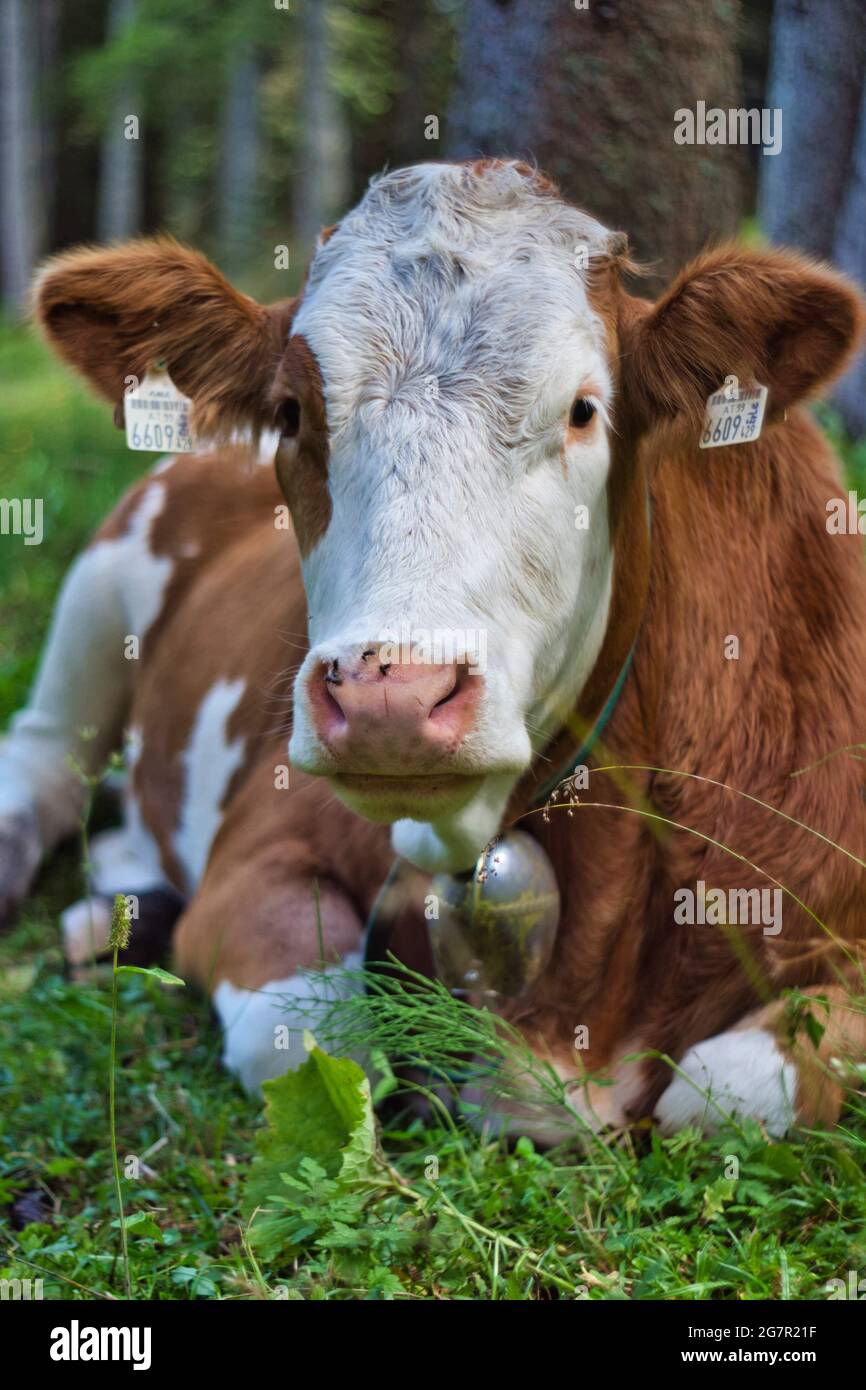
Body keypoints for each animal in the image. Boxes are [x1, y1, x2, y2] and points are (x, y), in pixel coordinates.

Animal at [2, 159, 866, 1141]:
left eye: (584, 411)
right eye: (291, 414)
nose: (391, 698)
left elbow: (728, 1094)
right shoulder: (260, 851)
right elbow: (316, 1041)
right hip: (98, 594)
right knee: (43, 762)